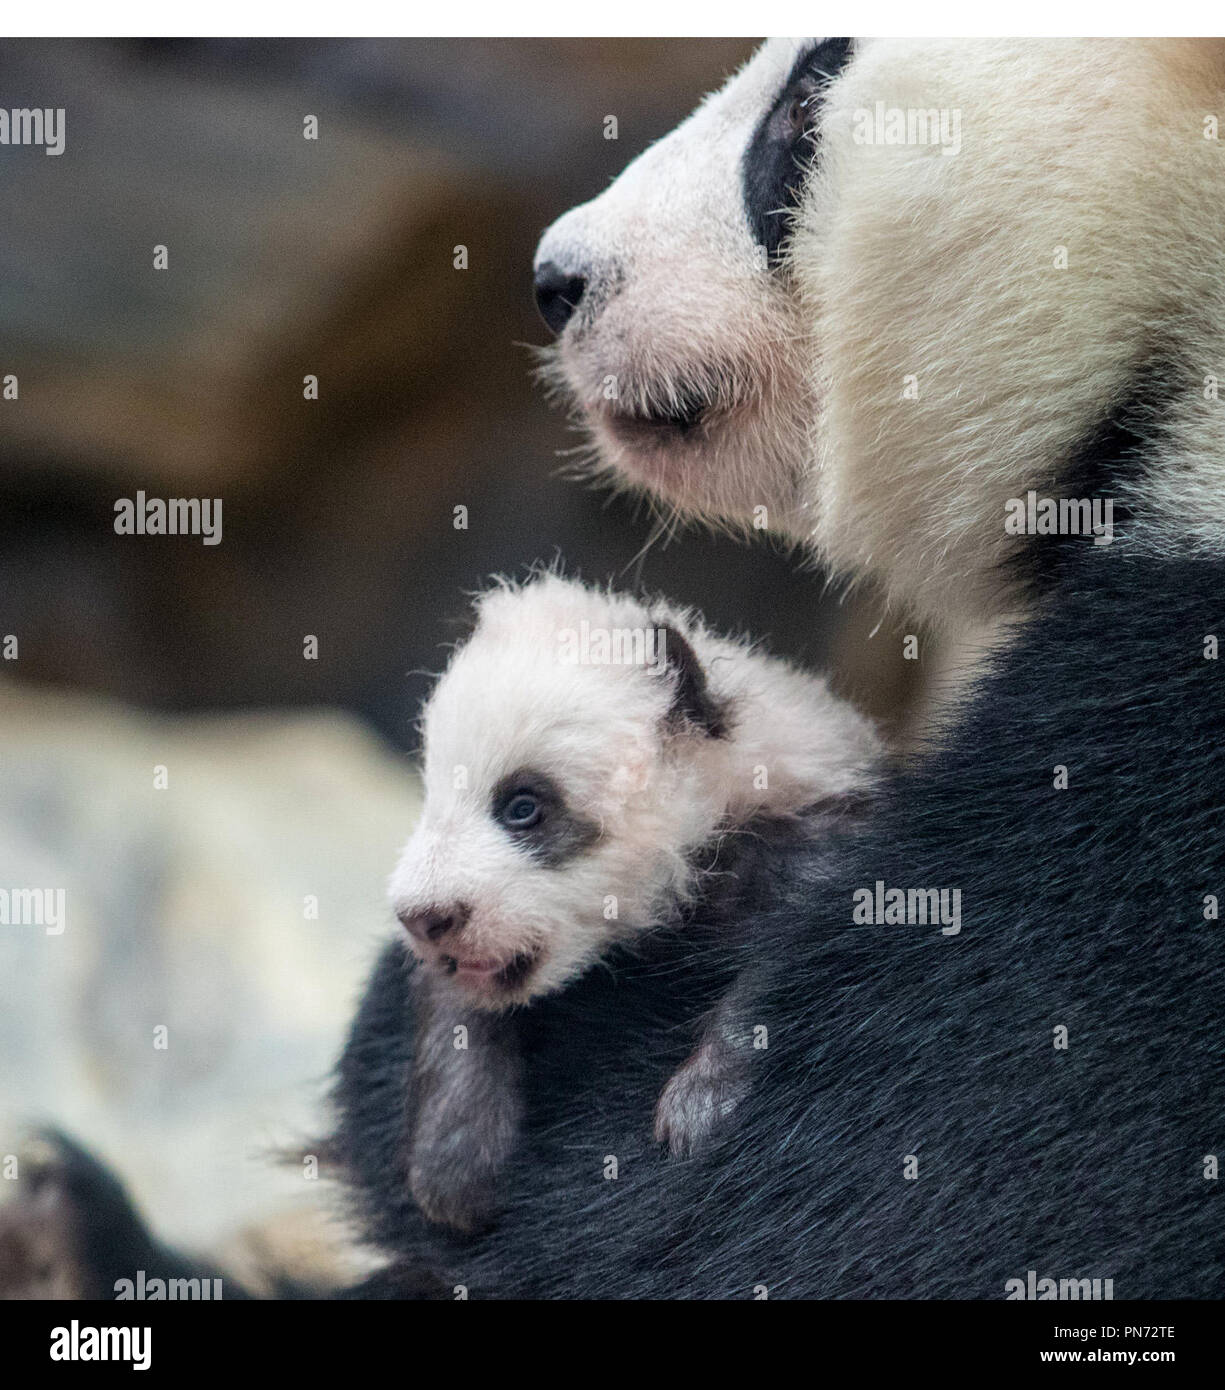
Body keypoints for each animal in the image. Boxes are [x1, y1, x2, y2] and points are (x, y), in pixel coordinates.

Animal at [384, 572, 881, 1232]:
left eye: (523, 806)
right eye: (432, 794)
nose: (423, 918)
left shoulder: (820, 828)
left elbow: (802, 945)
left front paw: (702, 1107)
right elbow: (458, 1005)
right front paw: (454, 1161)